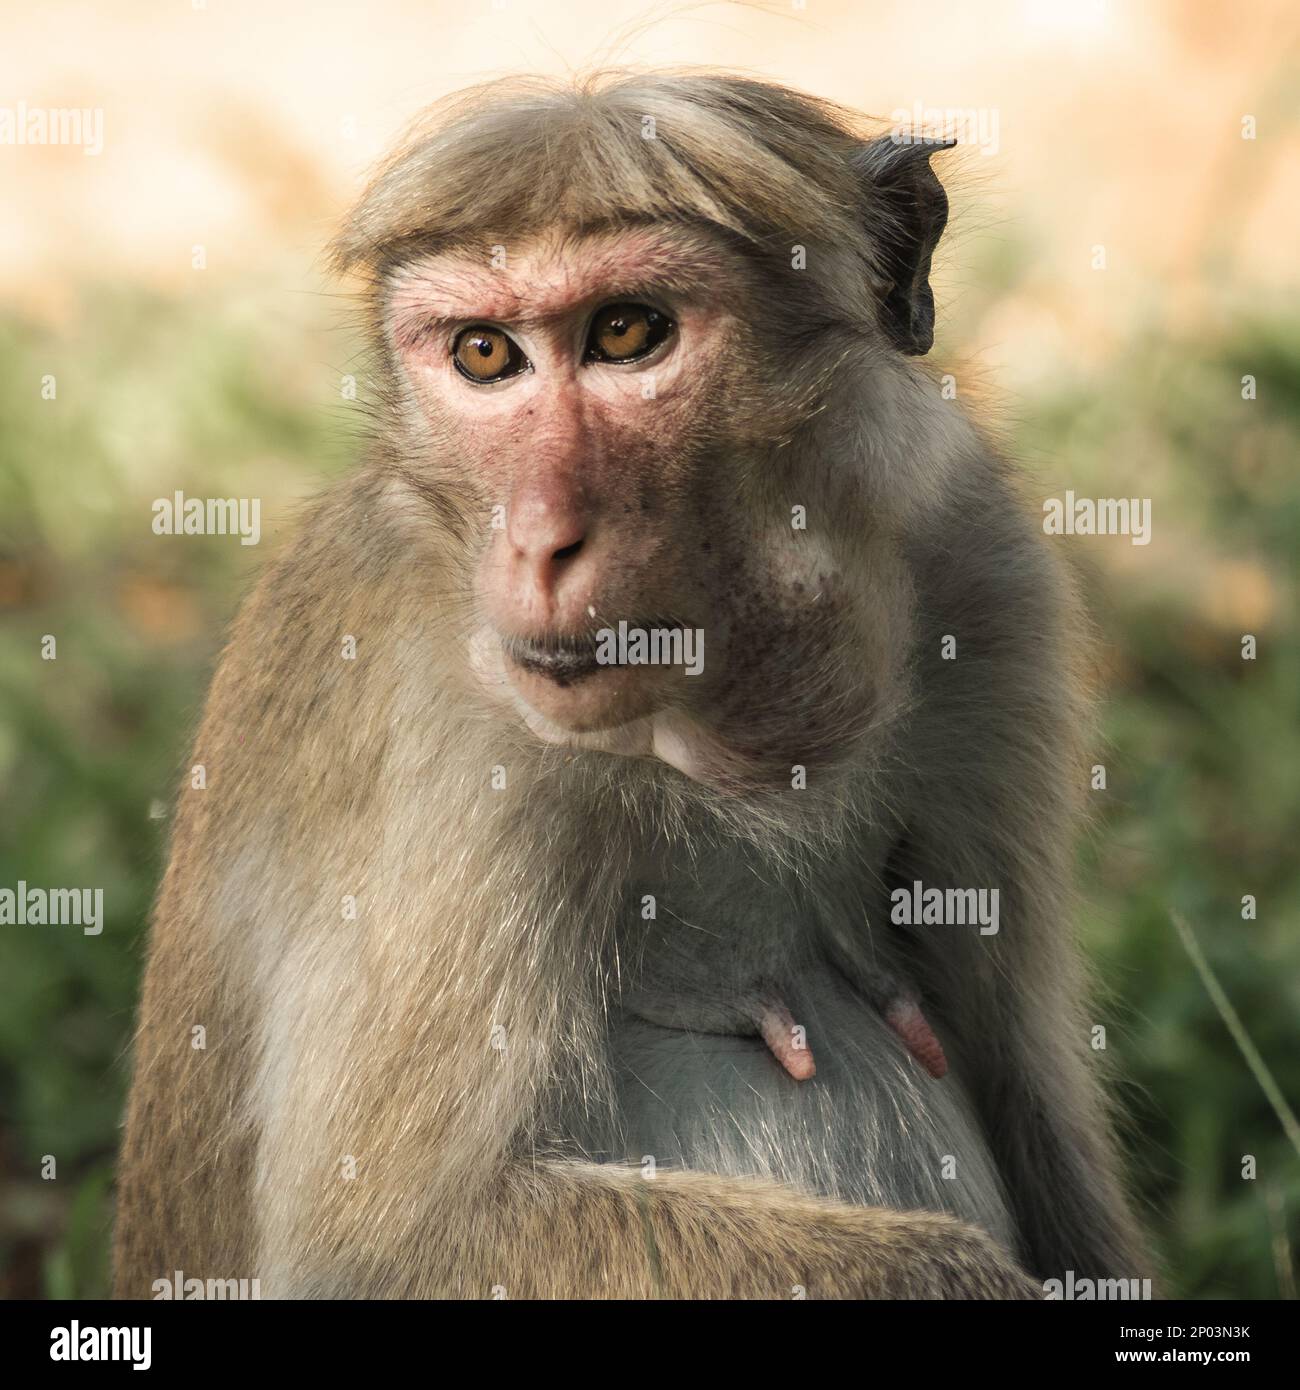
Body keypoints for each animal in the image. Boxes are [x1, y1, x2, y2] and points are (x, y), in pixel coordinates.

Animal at [113, 71, 1151, 1300]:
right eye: (483, 355)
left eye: (624, 332)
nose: (538, 540)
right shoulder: (450, 729)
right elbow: (388, 1242)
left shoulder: (982, 572)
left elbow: (1029, 1088)